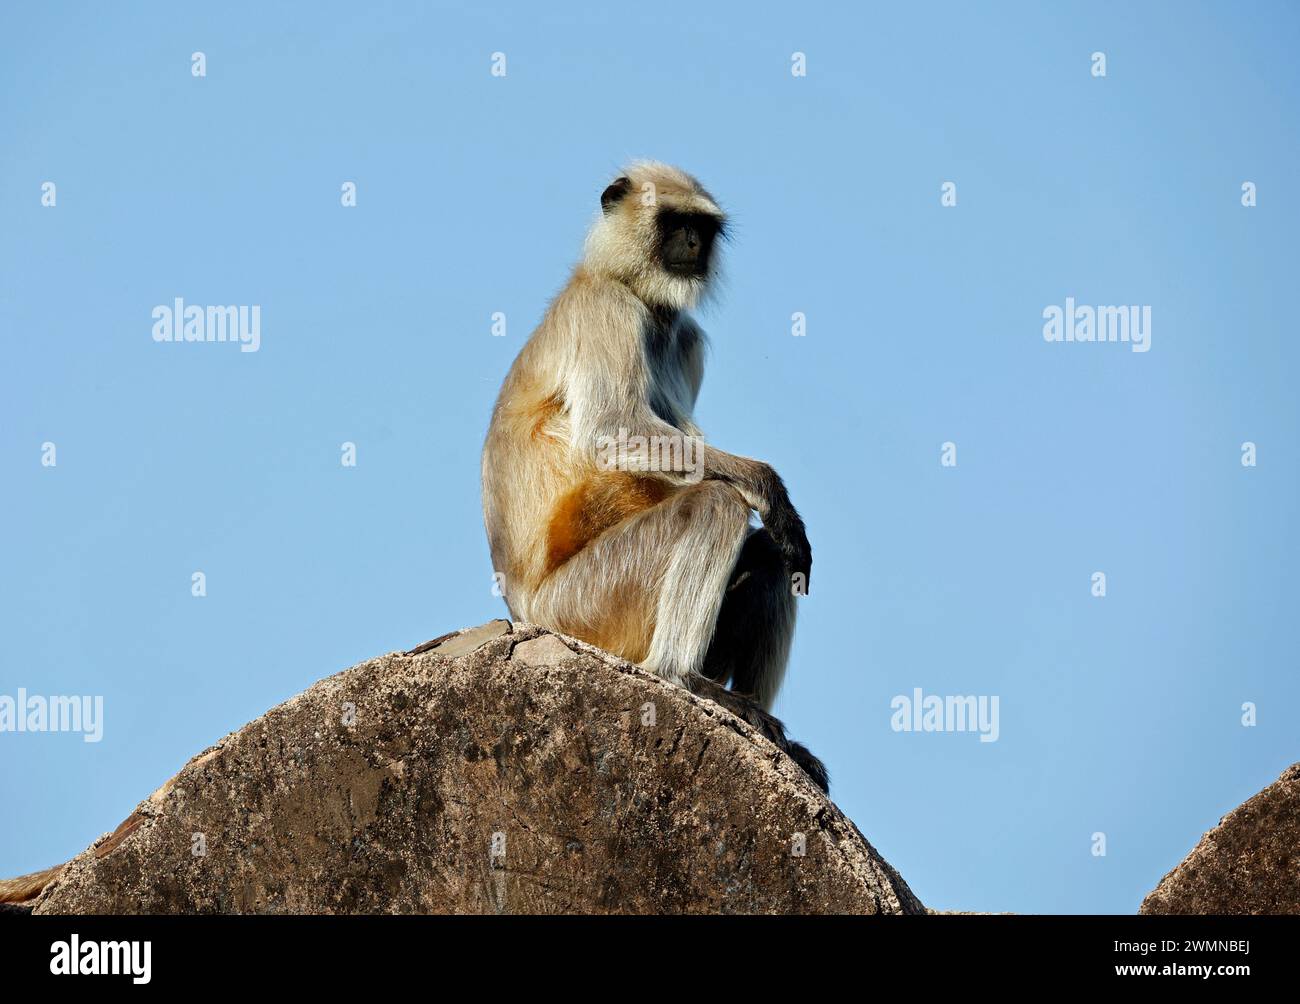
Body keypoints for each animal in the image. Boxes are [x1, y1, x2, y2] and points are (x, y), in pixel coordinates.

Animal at [481, 161, 826, 792]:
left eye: (702, 228)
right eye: (673, 222)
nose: (691, 243)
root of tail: (524, 614)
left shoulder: (686, 341)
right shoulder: (608, 308)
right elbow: (615, 432)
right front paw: (768, 486)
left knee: (770, 551)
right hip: (585, 606)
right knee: (715, 505)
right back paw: (679, 676)